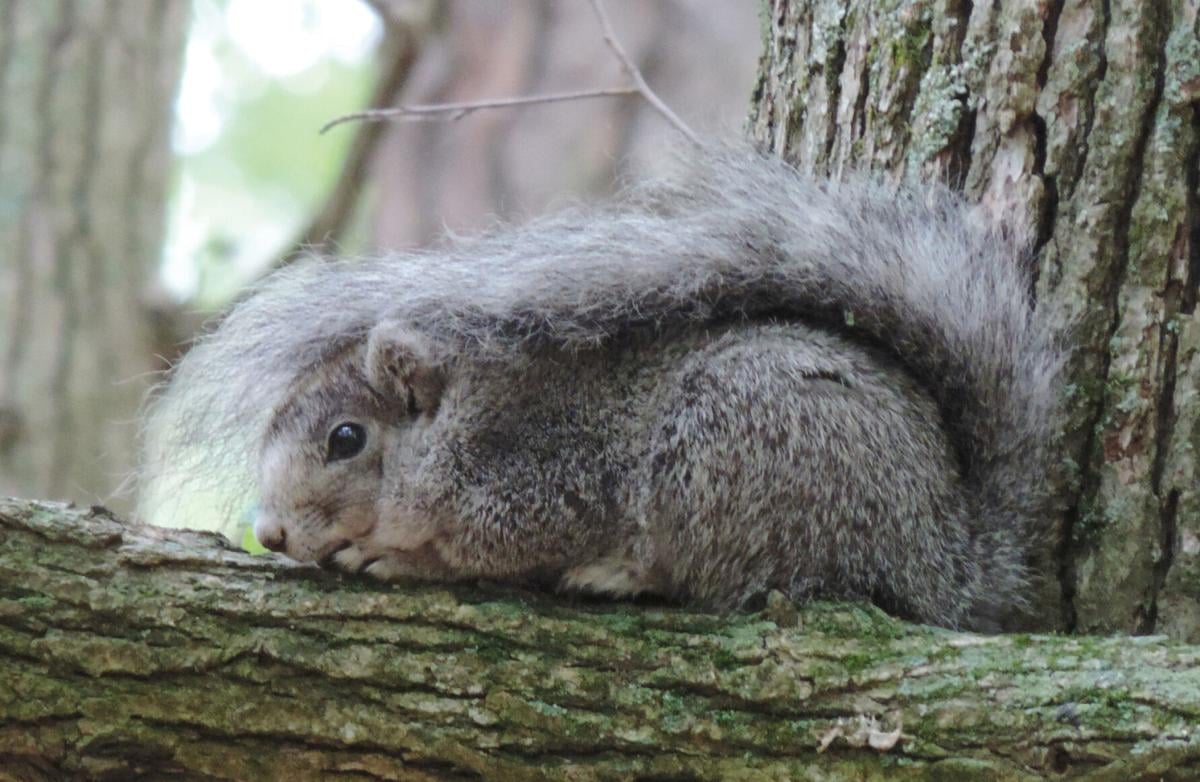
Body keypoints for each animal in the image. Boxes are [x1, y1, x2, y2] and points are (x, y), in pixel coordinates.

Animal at [140, 146, 1063, 630]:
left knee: (730, 579)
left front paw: (397, 557)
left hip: (738, 458)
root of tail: (949, 554)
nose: (268, 532)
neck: (460, 425)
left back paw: (619, 574)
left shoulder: (541, 481)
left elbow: (487, 552)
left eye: (345, 439)